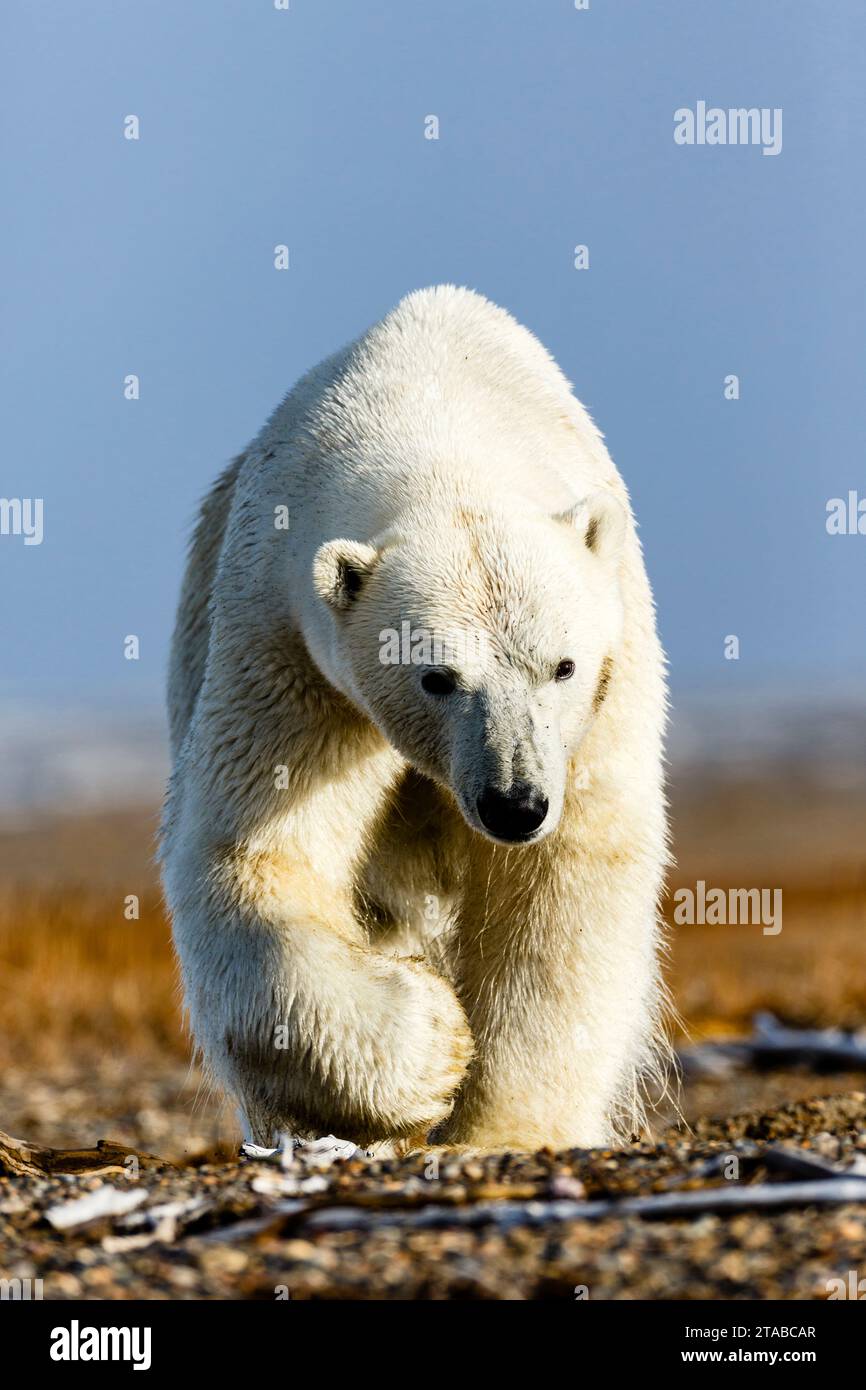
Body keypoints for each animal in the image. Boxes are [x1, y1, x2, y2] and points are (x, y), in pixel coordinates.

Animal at [161, 285, 670, 1153]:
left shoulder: (614, 666)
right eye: (437, 677)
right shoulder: (286, 645)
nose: (514, 803)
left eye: (563, 666)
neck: (438, 418)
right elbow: (258, 852)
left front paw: (503, 1129)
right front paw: (431, 1045)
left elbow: (570, 875)